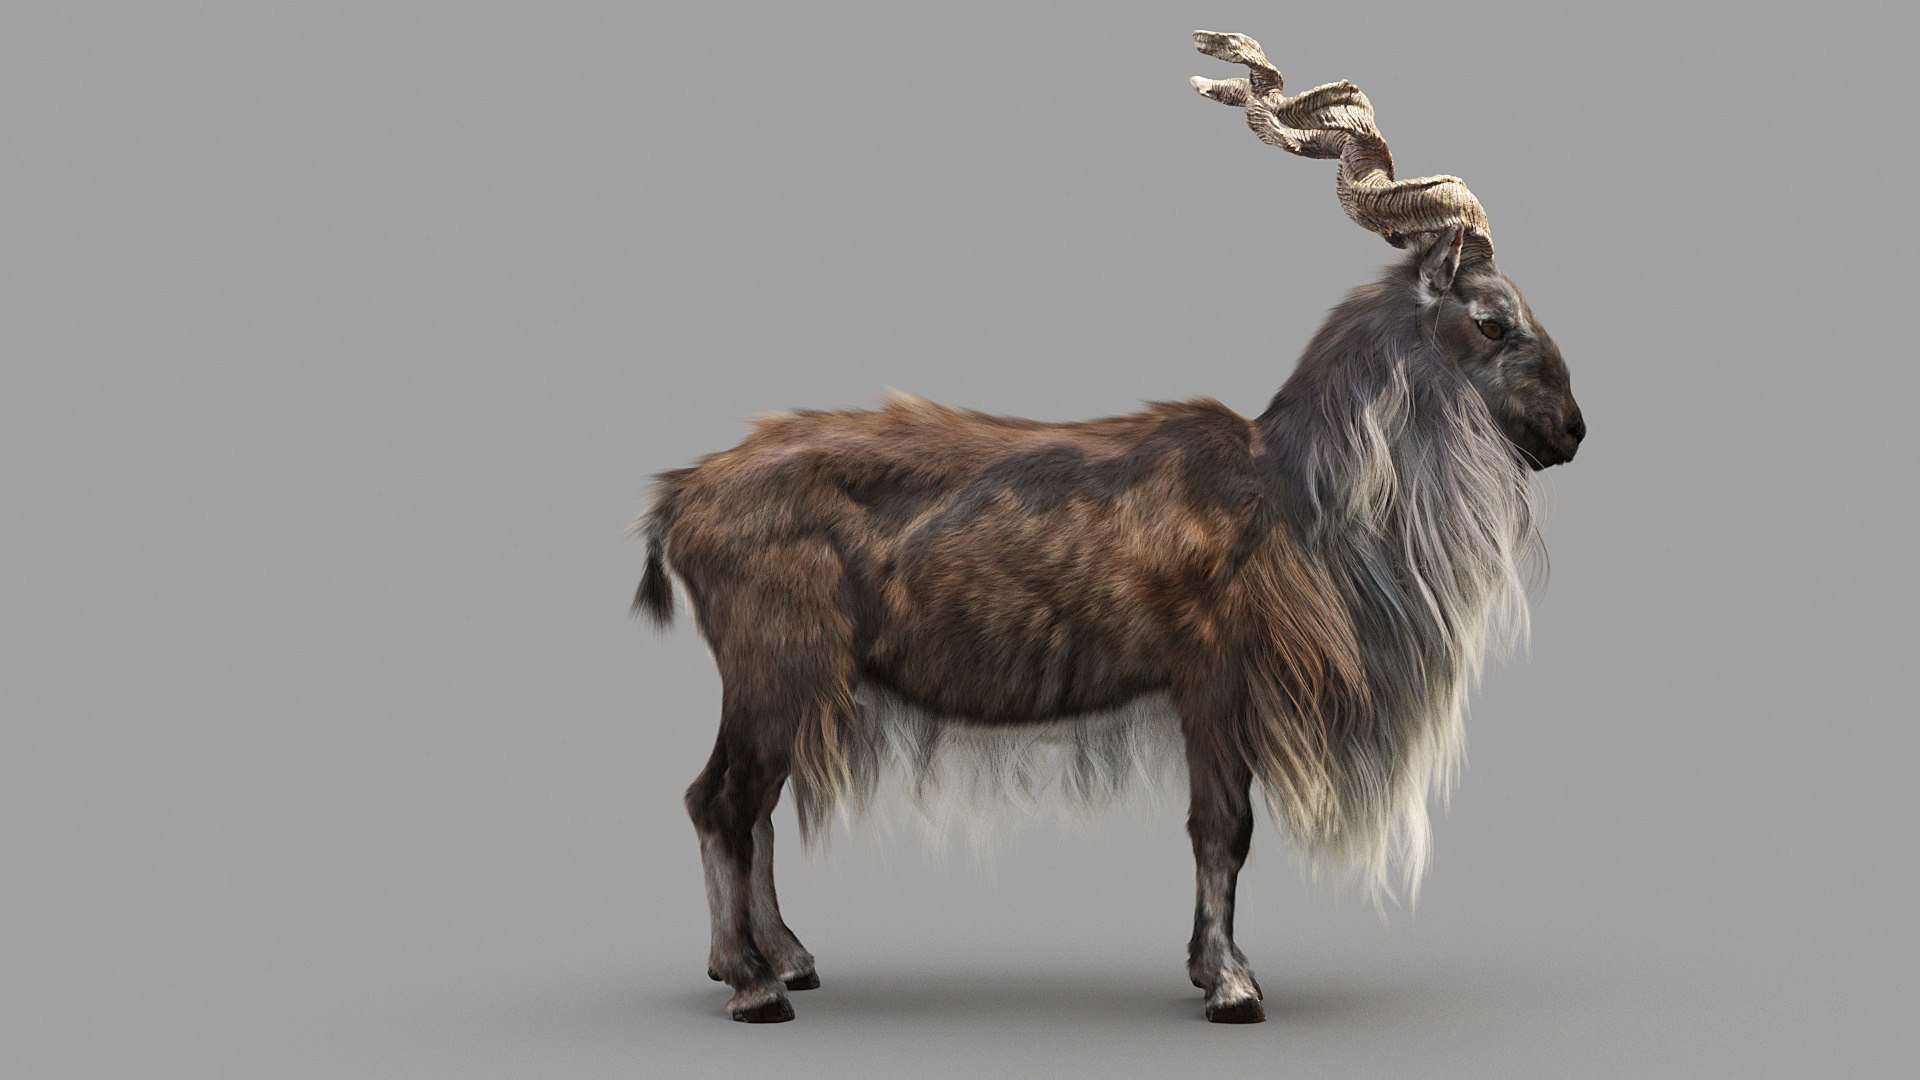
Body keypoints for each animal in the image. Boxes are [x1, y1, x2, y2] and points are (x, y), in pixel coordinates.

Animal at [635, 31, 1584, 1024]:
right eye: (1492, 319)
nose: (1571, 430)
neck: (1290, 490)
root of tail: (679, 498)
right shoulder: (1212, 678)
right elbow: (1223, 827)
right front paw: (1232, 983)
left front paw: (1211, 968)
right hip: (772, 663)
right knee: (721, 801)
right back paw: (751, 984)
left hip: (785, 679)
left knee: (750, 806)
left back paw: (785, 957)